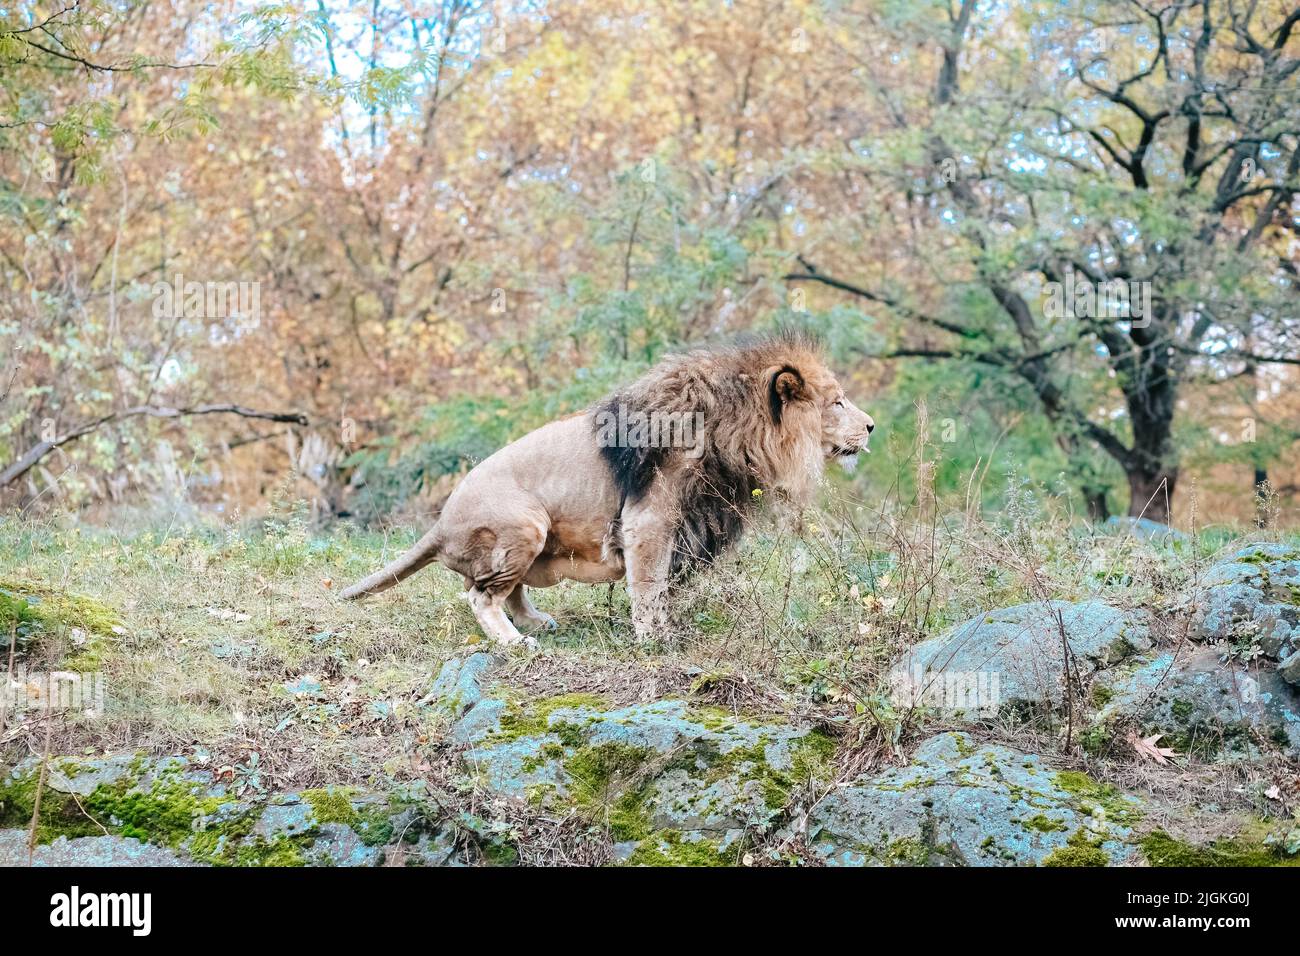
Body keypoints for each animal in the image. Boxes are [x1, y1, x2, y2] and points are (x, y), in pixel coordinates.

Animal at [340, 333, 875, 645]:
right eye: (837, 402)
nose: (871, 426)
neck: (732, 430)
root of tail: (439, 525)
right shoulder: (649, 521)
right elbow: (649, 586)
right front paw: (656, 639)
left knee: (507, 592)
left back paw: (536, 622)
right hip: (525, 523)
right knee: (480, 596)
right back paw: (514, 642)